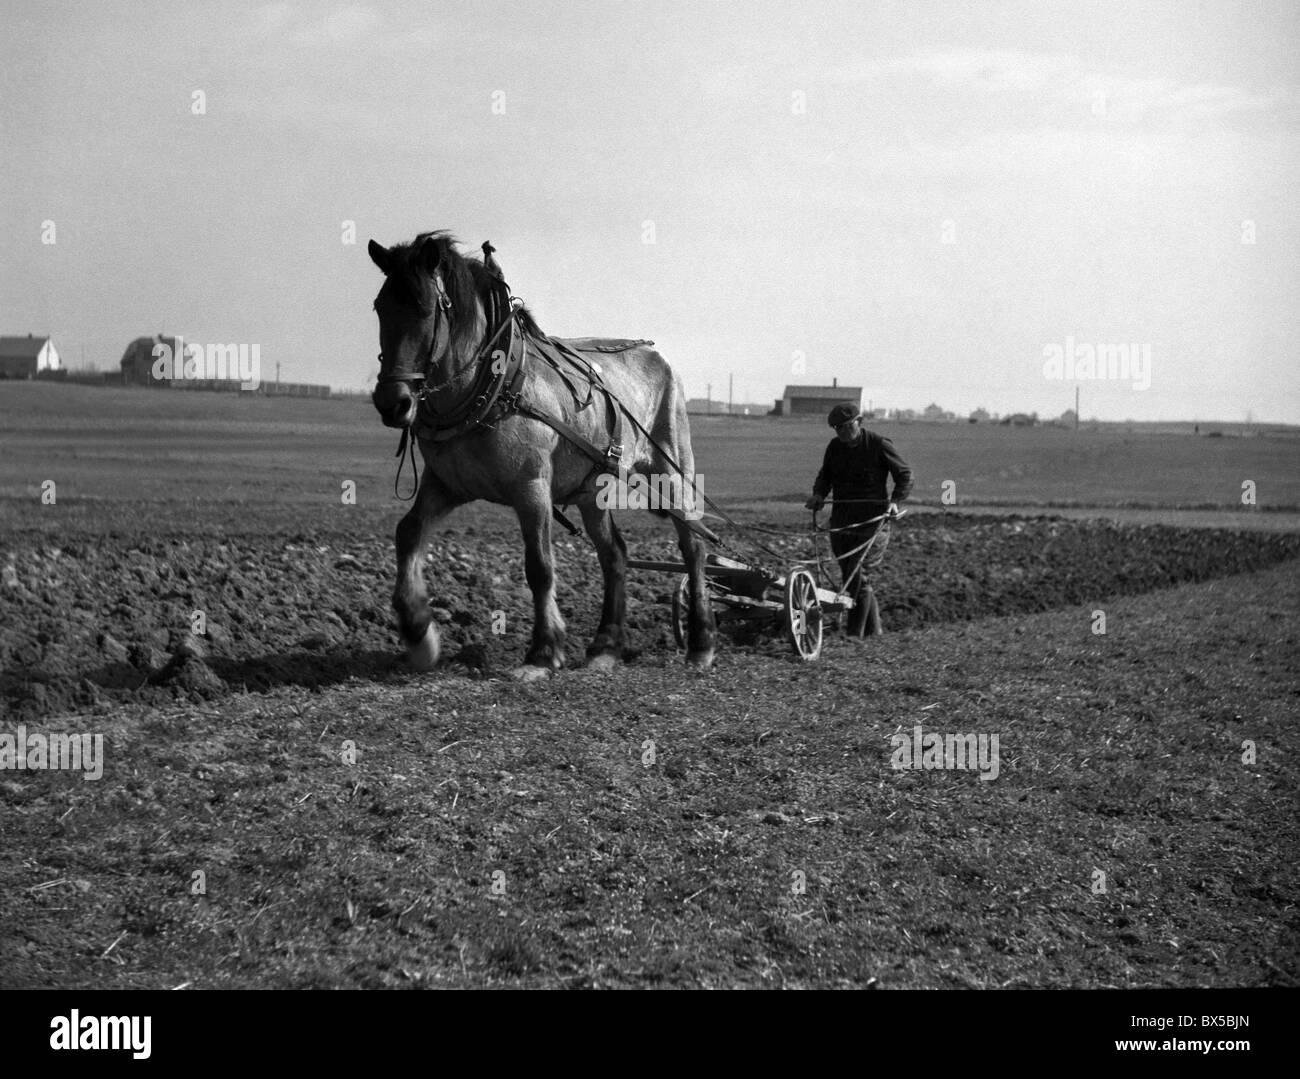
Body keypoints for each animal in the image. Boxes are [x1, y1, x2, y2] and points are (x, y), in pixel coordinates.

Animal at [367, 231, 717, 681]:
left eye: (426, 309)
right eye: (380, 307)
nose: (393, 403)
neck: (492, 385)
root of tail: (658, 356)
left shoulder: (531, 487)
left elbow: (539, 566)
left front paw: (542, 653)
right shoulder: (445, 484)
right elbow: (408, 533)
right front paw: (419, 633)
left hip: (672, 474)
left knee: (693, 547)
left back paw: (701, 644)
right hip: (593, 490)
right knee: (615, 554)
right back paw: (605, 647)